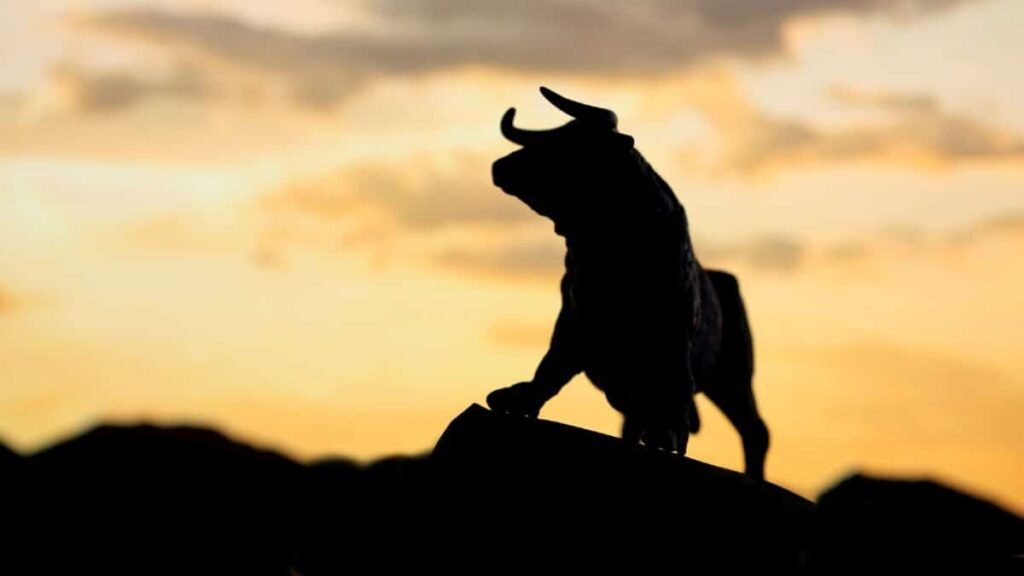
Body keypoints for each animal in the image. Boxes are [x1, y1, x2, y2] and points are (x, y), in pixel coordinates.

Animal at [485, 87, 770, 479]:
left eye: (573, 145)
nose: (500, 166)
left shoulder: (670, 337)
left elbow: (669, 393)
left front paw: (665, 436)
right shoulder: (575, 322)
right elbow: (552, 367)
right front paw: (518, 398)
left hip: (733, 376)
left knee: (754, 430)